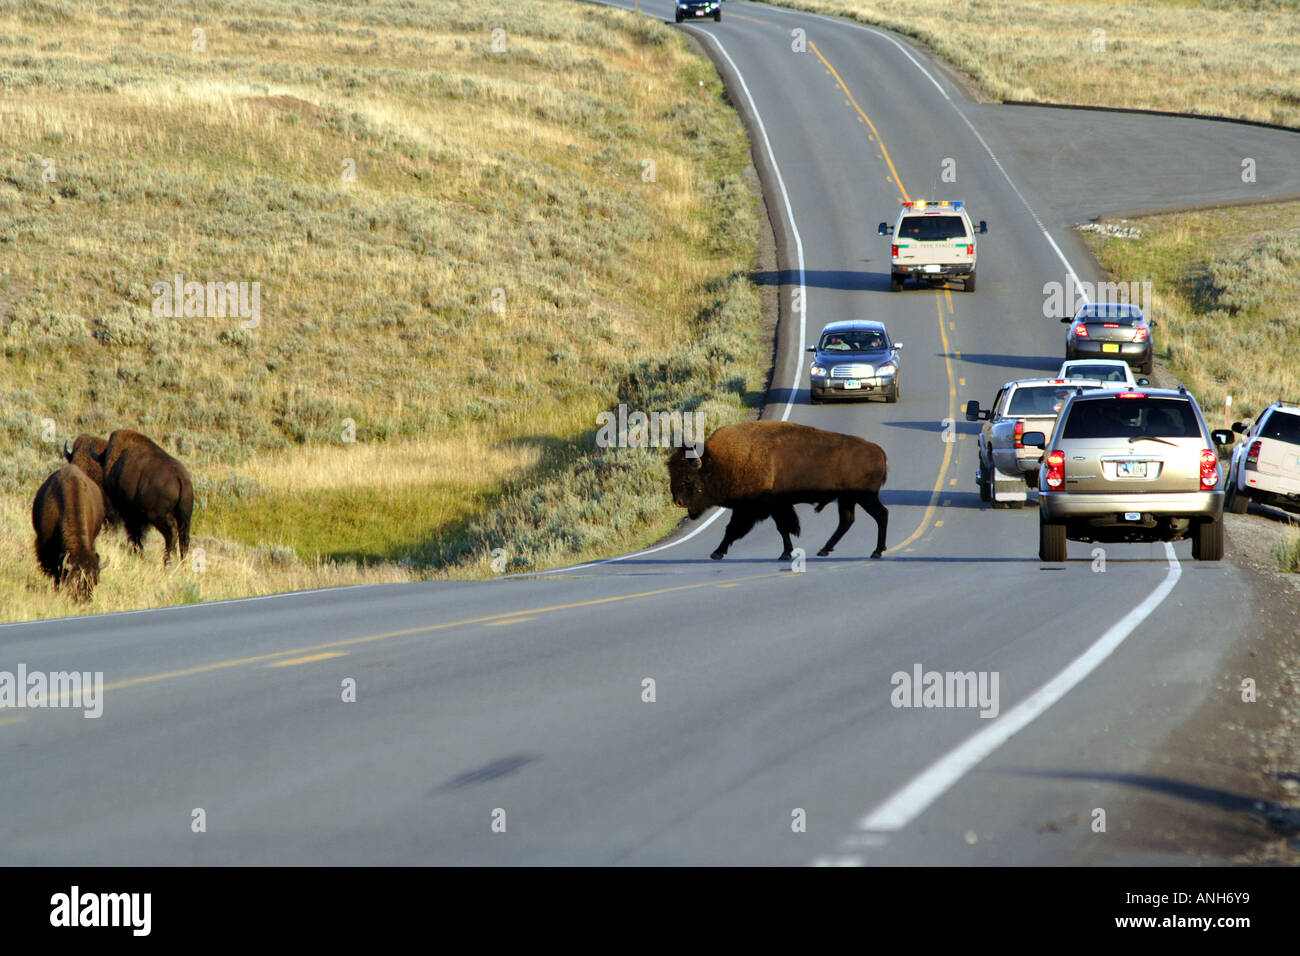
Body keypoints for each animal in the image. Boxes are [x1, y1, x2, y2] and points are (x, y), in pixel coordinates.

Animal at [91, 429, 194, 565]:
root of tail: (180, 477)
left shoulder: (128, 512)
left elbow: (135, 532)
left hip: (157, 516)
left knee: (171, 533)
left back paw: (166, 562)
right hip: (184, 517)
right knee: (184, 538)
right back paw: (182, 564)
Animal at [667, 420, 888, 560]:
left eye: (687, 478)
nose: (677, 501)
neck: (718, 462)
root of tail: (880, 452)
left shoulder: (752, 509)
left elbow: (734, 529)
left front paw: (717, 553)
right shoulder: (776, 507)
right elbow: (784, 529)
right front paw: (786, 553)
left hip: (864, 497)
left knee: (880, 515)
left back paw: (877, 551)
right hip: (847, 498)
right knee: (847, 521)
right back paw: (824, 550)